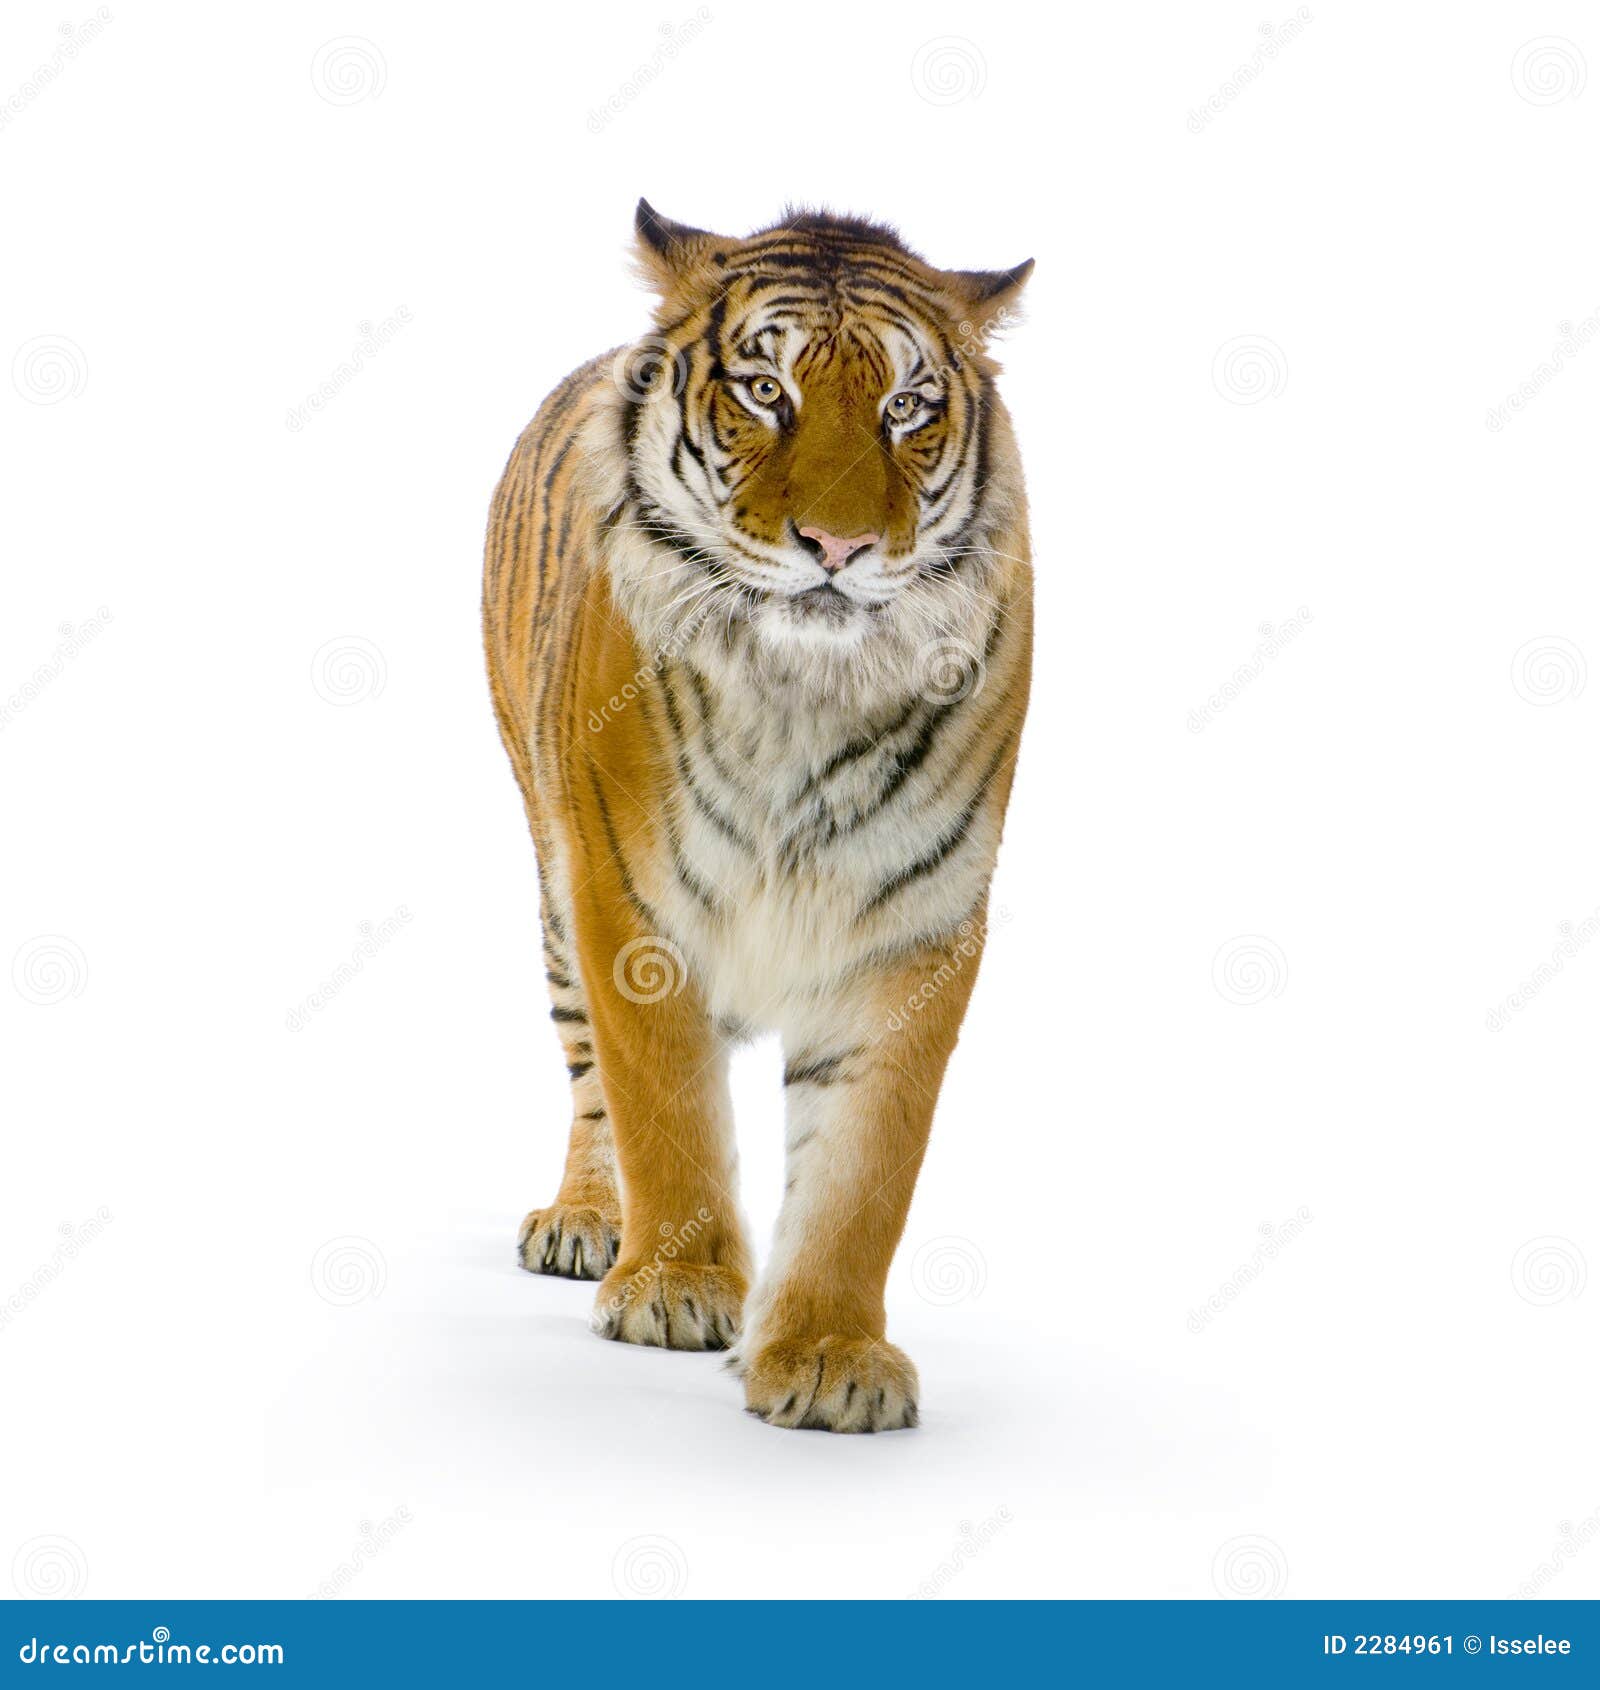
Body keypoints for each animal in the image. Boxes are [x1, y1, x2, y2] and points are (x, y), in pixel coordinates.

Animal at [482, 200, 1032, 1432]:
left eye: (905, 407)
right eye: (766, 391)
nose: (838, 548)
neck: (802, 690)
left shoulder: (914, 927)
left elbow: (864, 1170)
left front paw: (829, 1352)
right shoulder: (627, 900)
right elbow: (663, 1107)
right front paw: (676, 1288)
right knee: (588, 1074)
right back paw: (587, 1223)